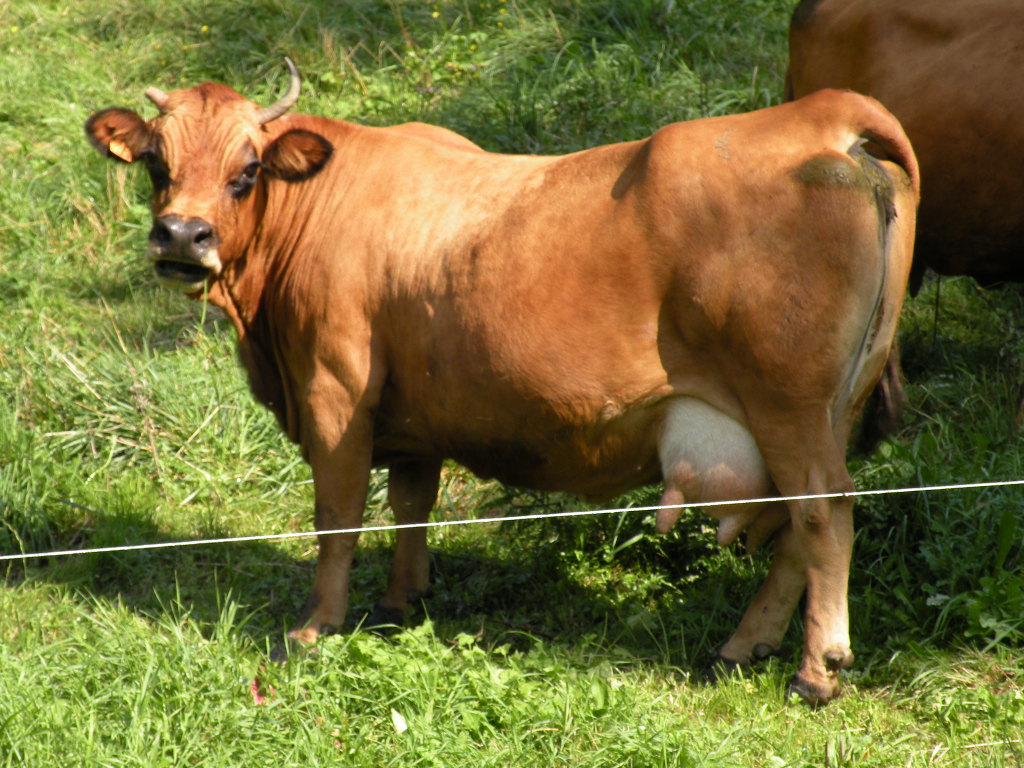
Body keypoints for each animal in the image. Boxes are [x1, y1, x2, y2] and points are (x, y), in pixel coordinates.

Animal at [85, 60, 918, 705]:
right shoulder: (412, 408)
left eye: (247, 171)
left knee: (822, 512)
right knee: (798, 532)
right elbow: (411, 503)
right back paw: (739, 649)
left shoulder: (334, 393)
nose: (182, 236)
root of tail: (822, 115)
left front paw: (315, 627)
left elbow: (338, 516)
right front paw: (402, 600)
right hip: (829, 409)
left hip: (790, 406)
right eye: (157, 165)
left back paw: (816, 671)